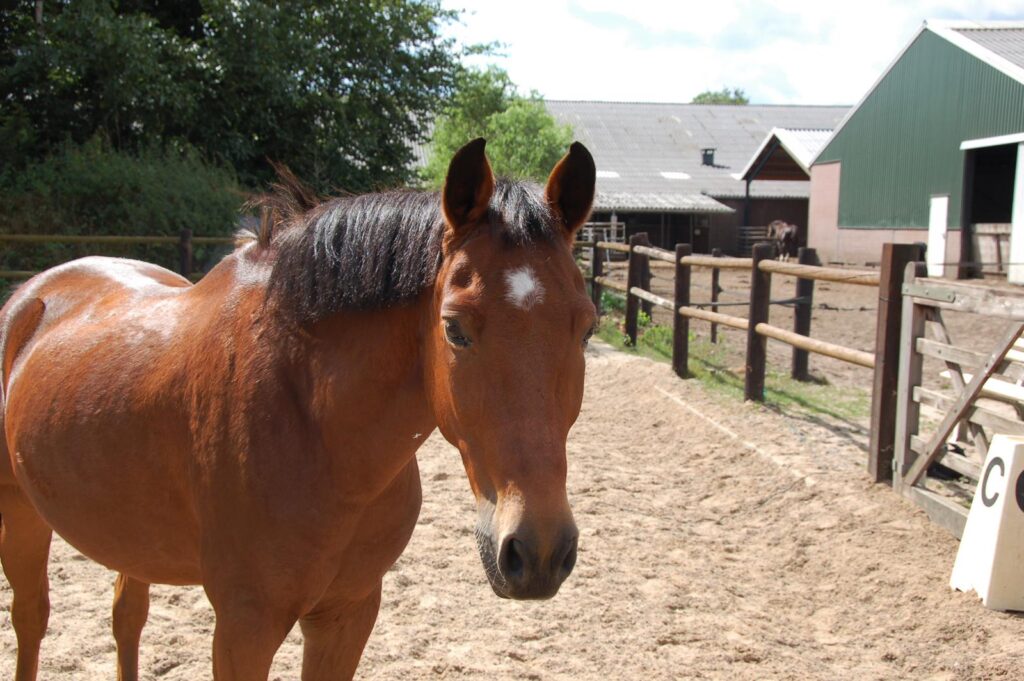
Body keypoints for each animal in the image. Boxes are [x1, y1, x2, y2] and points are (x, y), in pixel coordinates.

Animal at [0, 138, 596, 680]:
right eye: (454, 328)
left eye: (586, 329)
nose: (539, 551)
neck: (319, 434)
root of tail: (32, 294)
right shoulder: (245, 624)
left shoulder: (348, 613)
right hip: (22, 514)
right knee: (31, 618)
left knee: (127, 616)